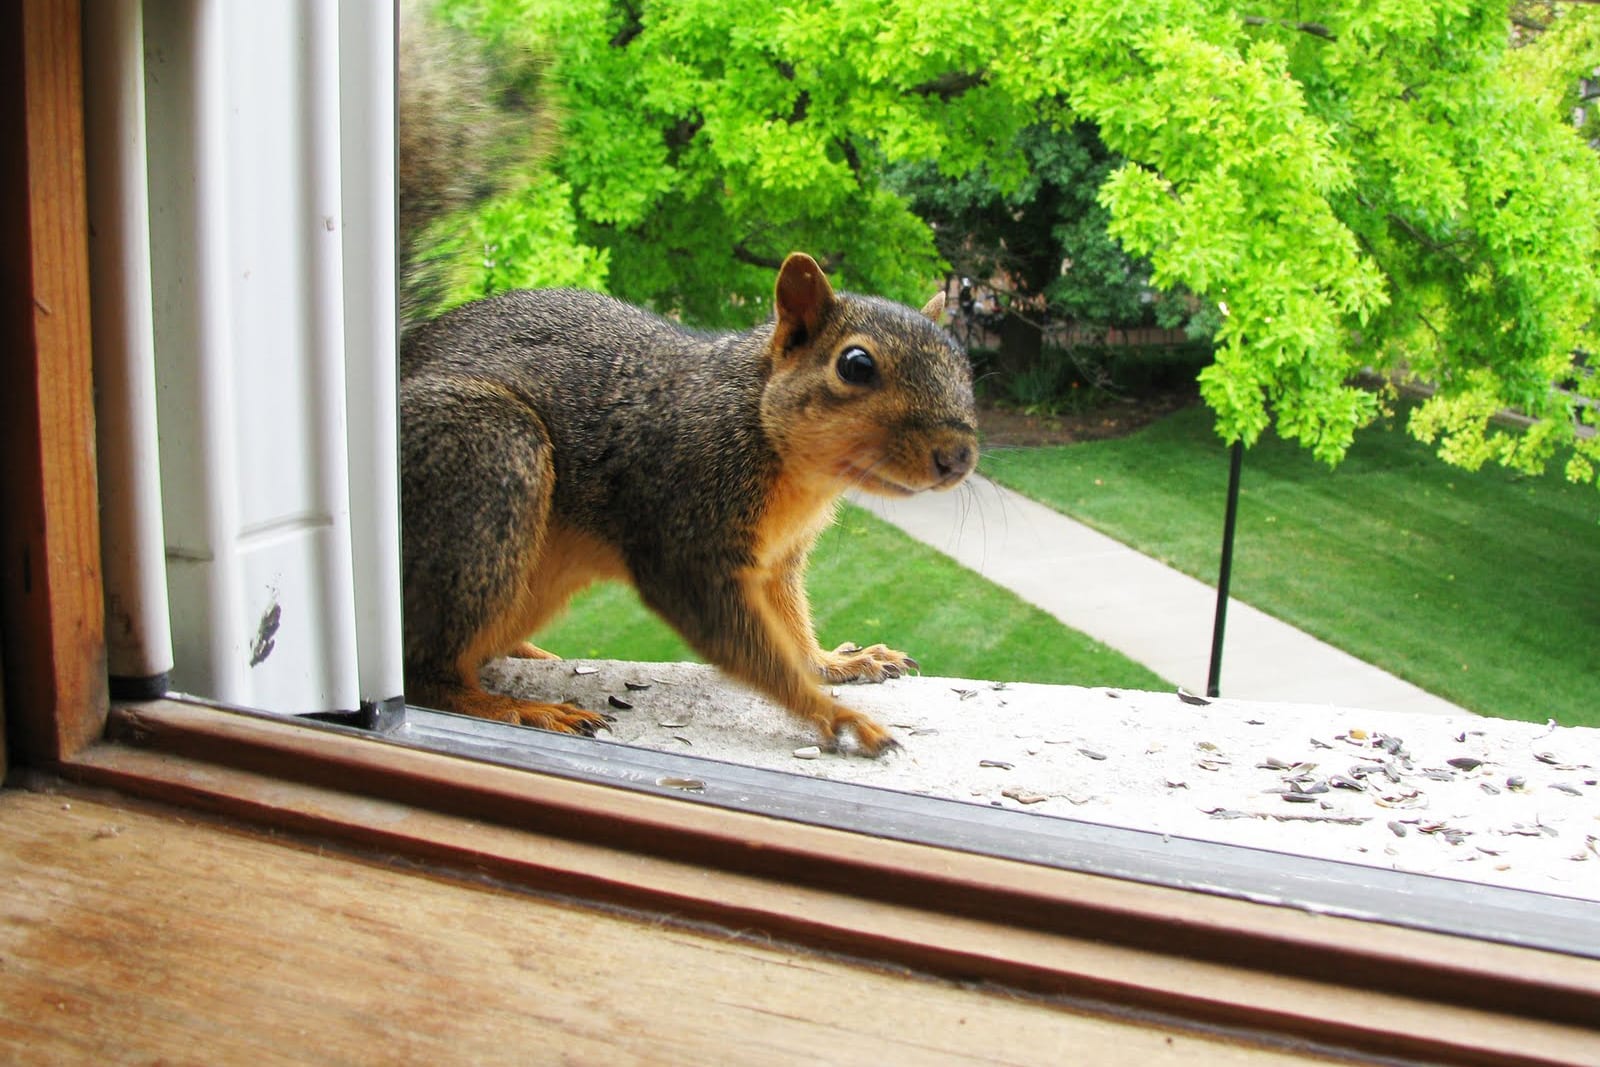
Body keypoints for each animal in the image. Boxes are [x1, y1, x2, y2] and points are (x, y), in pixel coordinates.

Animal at [399, 254, 978, 755]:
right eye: (855, 365)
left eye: (963, 362)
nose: (959, 456)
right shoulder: (685, 530)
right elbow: (741, 640)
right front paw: (836, 715)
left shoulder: (779, 559)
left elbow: (789, 626)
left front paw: (834, 662)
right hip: (489, 455)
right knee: (428, 676)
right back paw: (515, 707)